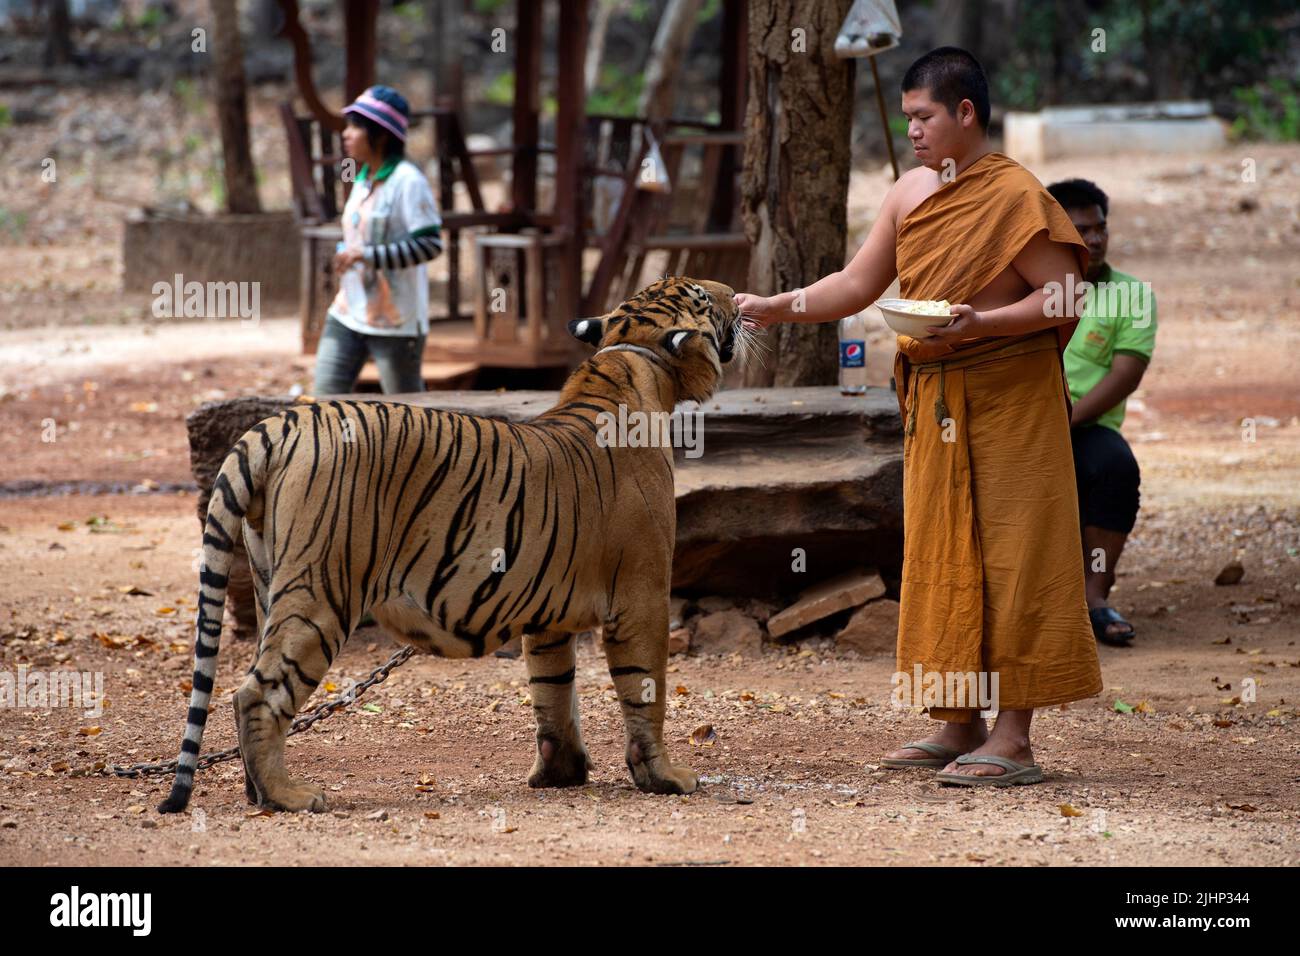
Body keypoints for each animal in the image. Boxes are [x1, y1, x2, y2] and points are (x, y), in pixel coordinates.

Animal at [157, 277, 749, 814]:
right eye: (703, 297)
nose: (737, 295)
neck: (635, 362)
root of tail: (282, 421)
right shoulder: (642, 594)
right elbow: (645, 688)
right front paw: (664, 778)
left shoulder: (550, 612)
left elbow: (553, 690)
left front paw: (561, 773)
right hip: (321, 592)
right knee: (256, 693)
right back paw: (289, 797)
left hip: (266, 583)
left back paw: (257, 790)